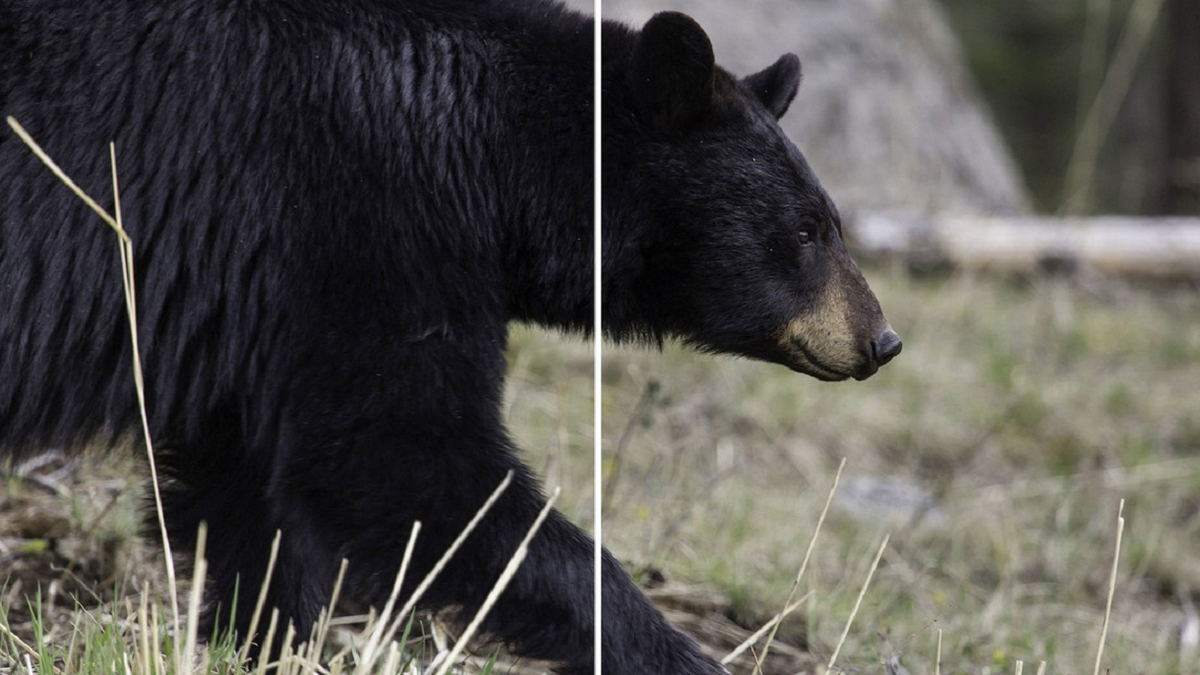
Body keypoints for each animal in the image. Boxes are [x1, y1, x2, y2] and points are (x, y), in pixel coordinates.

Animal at [0, 2, 899, 674]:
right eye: (808, 229)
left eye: (830, 220)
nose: (882, 339)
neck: (491, 151)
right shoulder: (358, 222)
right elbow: (403, 460)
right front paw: (676, 653)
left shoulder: (255, 309)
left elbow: (245, 494)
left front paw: (263, 640)